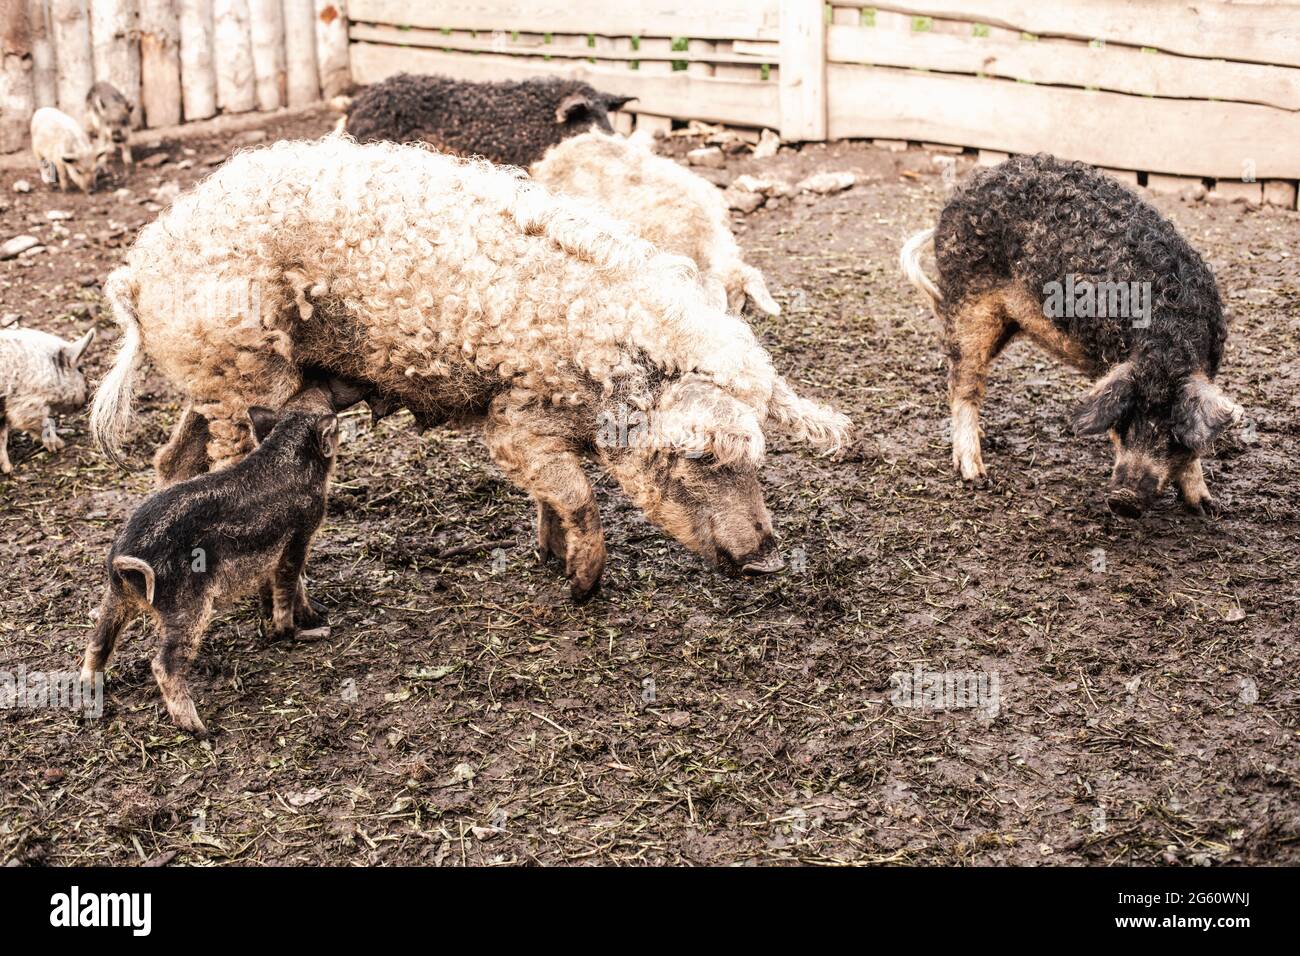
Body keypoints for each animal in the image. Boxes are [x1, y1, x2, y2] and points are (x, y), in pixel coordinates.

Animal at [0, 325, 96, 473]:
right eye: (81, 369)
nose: (89, 397)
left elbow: (2, 437)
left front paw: (7, 469)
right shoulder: (27, 404)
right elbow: (42, 423)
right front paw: (60, 445)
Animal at [81, 404, 340, 736]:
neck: (290, 455)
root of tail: (122, 559)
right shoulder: (299, 536)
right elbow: (289, 585)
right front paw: (303, 628)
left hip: (116, 598)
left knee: (97, 642)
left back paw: (90, 689)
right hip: (188, 606)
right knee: (162, 664)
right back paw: (198, 728)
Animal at [901, 153, 1242, 517]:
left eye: (1172, 430)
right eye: (1124, 420)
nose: (1124, 498)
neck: (1165, 341)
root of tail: (958, 198)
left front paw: (1208, 508)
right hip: (969, 307)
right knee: (962, 383)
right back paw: (975, 474)